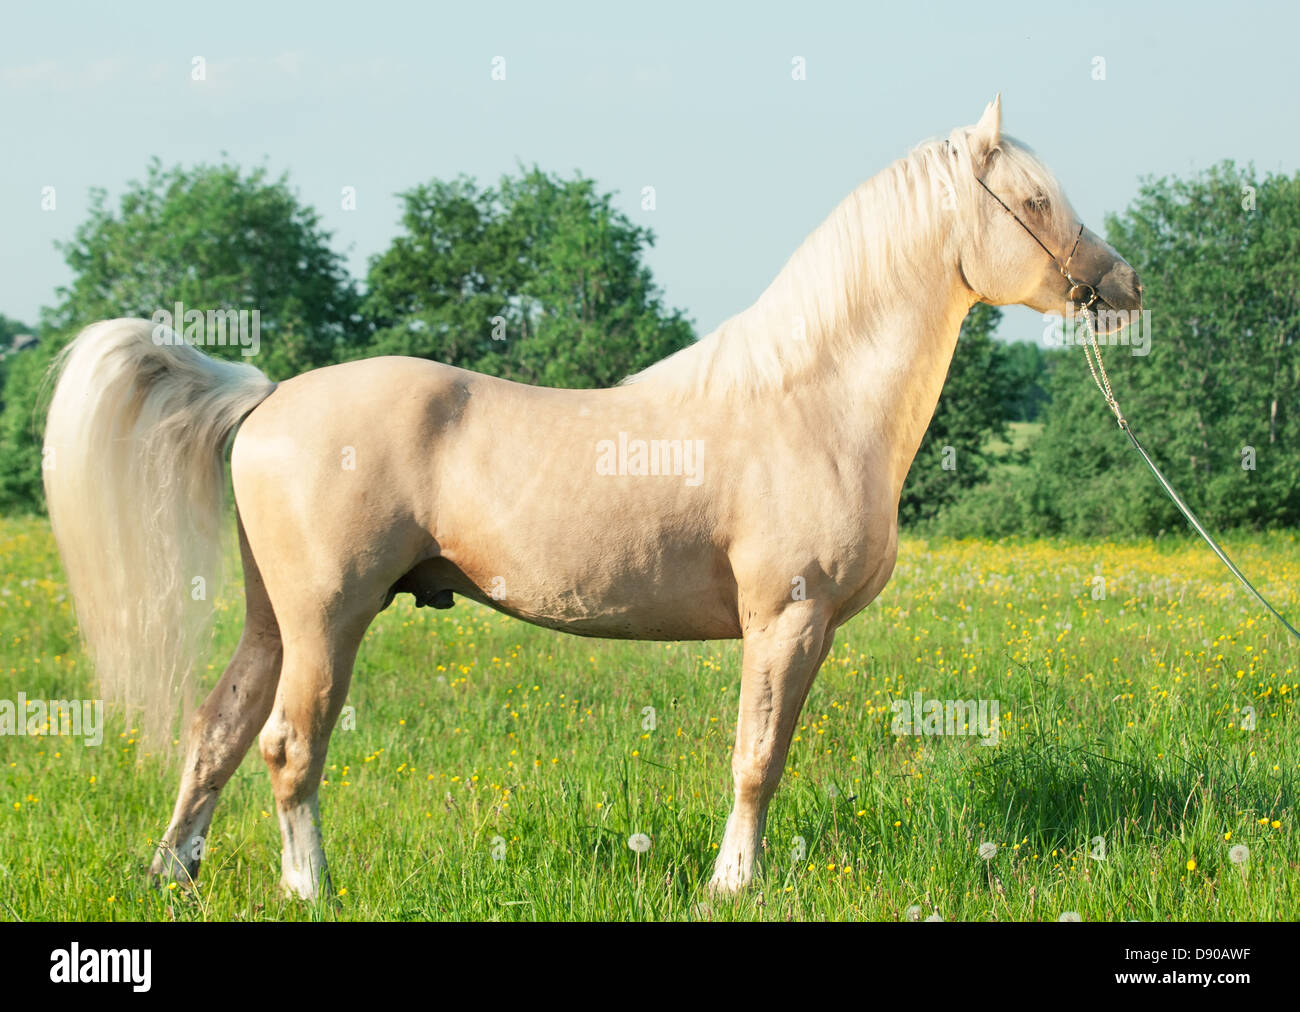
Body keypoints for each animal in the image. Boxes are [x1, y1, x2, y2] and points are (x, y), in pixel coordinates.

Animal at [42, 96, 1141, 900]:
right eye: (1033, 201)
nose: (1122, 286)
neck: (811, 398)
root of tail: (267, 396)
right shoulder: (784, 619)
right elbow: (755, 758)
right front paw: (730, 884)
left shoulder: (802, 627)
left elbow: (768, 755)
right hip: (327, 620)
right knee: (287, 744)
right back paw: (310, 887)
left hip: (276, 618)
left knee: (218, 728)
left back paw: (174, 873)